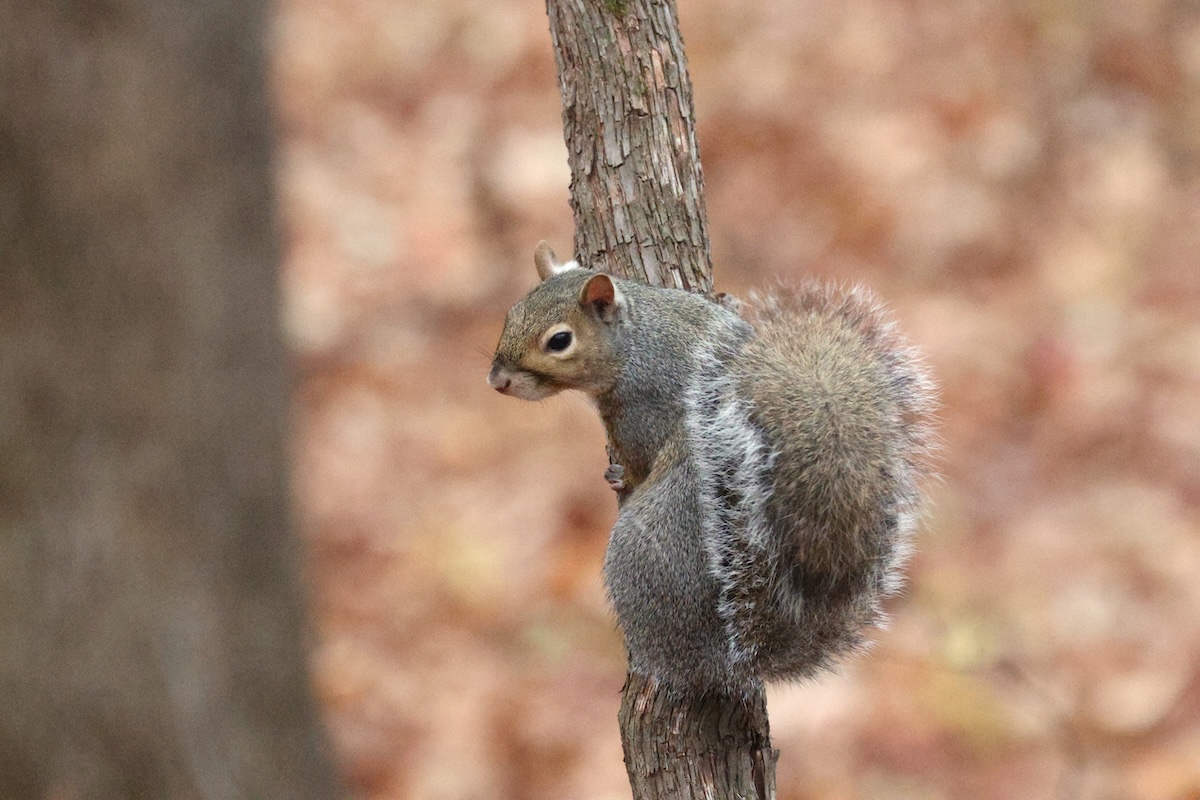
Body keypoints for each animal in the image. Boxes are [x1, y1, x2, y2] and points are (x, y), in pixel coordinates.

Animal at [488, 241, 936, 693]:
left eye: (560, 340)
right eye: (511, 314)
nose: (497, 381)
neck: (637, 340)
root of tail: (733, 660)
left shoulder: (641, 413)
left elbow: (640, 463)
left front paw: (621, 478)